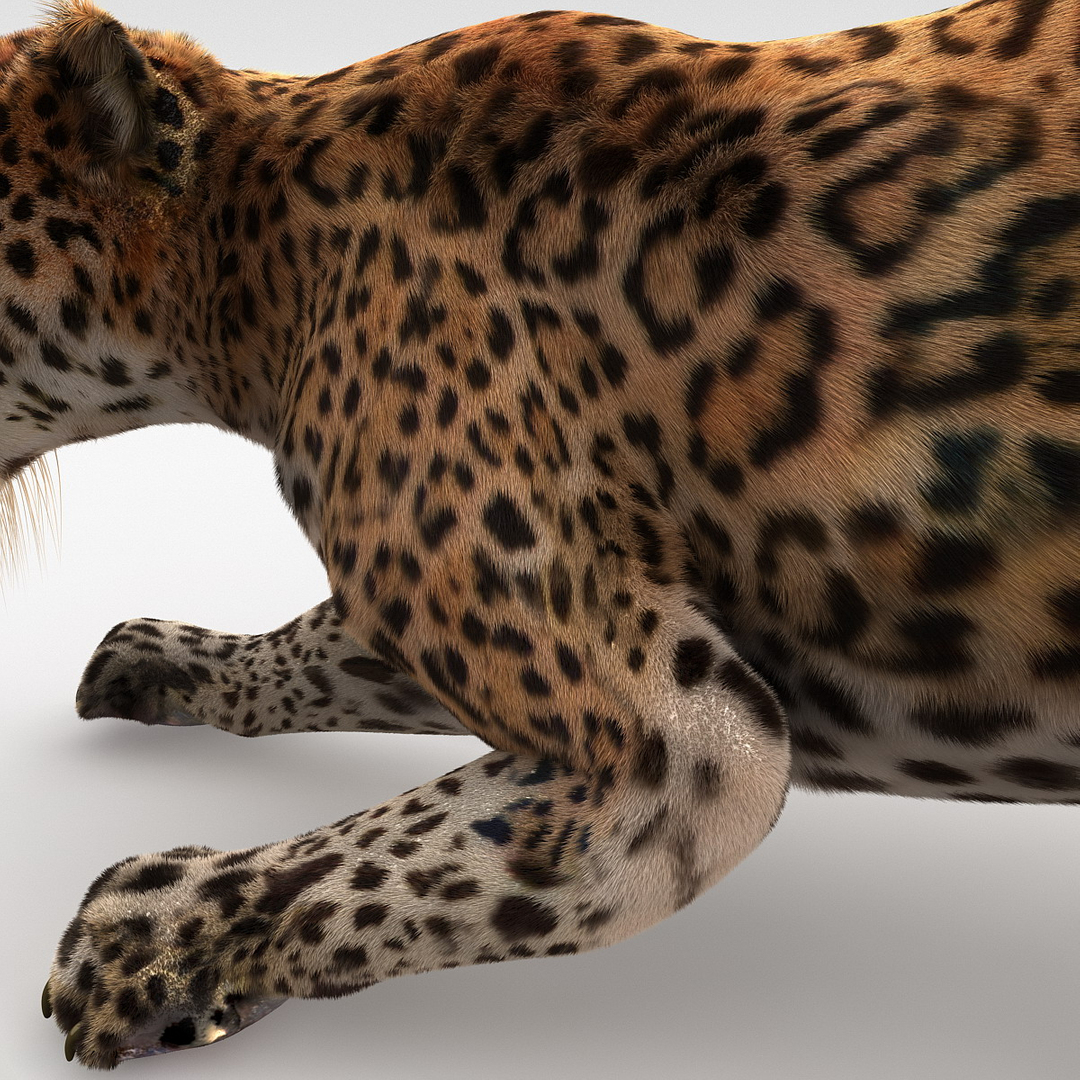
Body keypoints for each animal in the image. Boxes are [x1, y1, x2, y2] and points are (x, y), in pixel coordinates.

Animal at [1, 0, 1077, 1068]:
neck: (254, 257)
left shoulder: (681, 744)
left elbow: (361, 872)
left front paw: (152, 937)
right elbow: (326, 649)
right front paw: (163, 663)